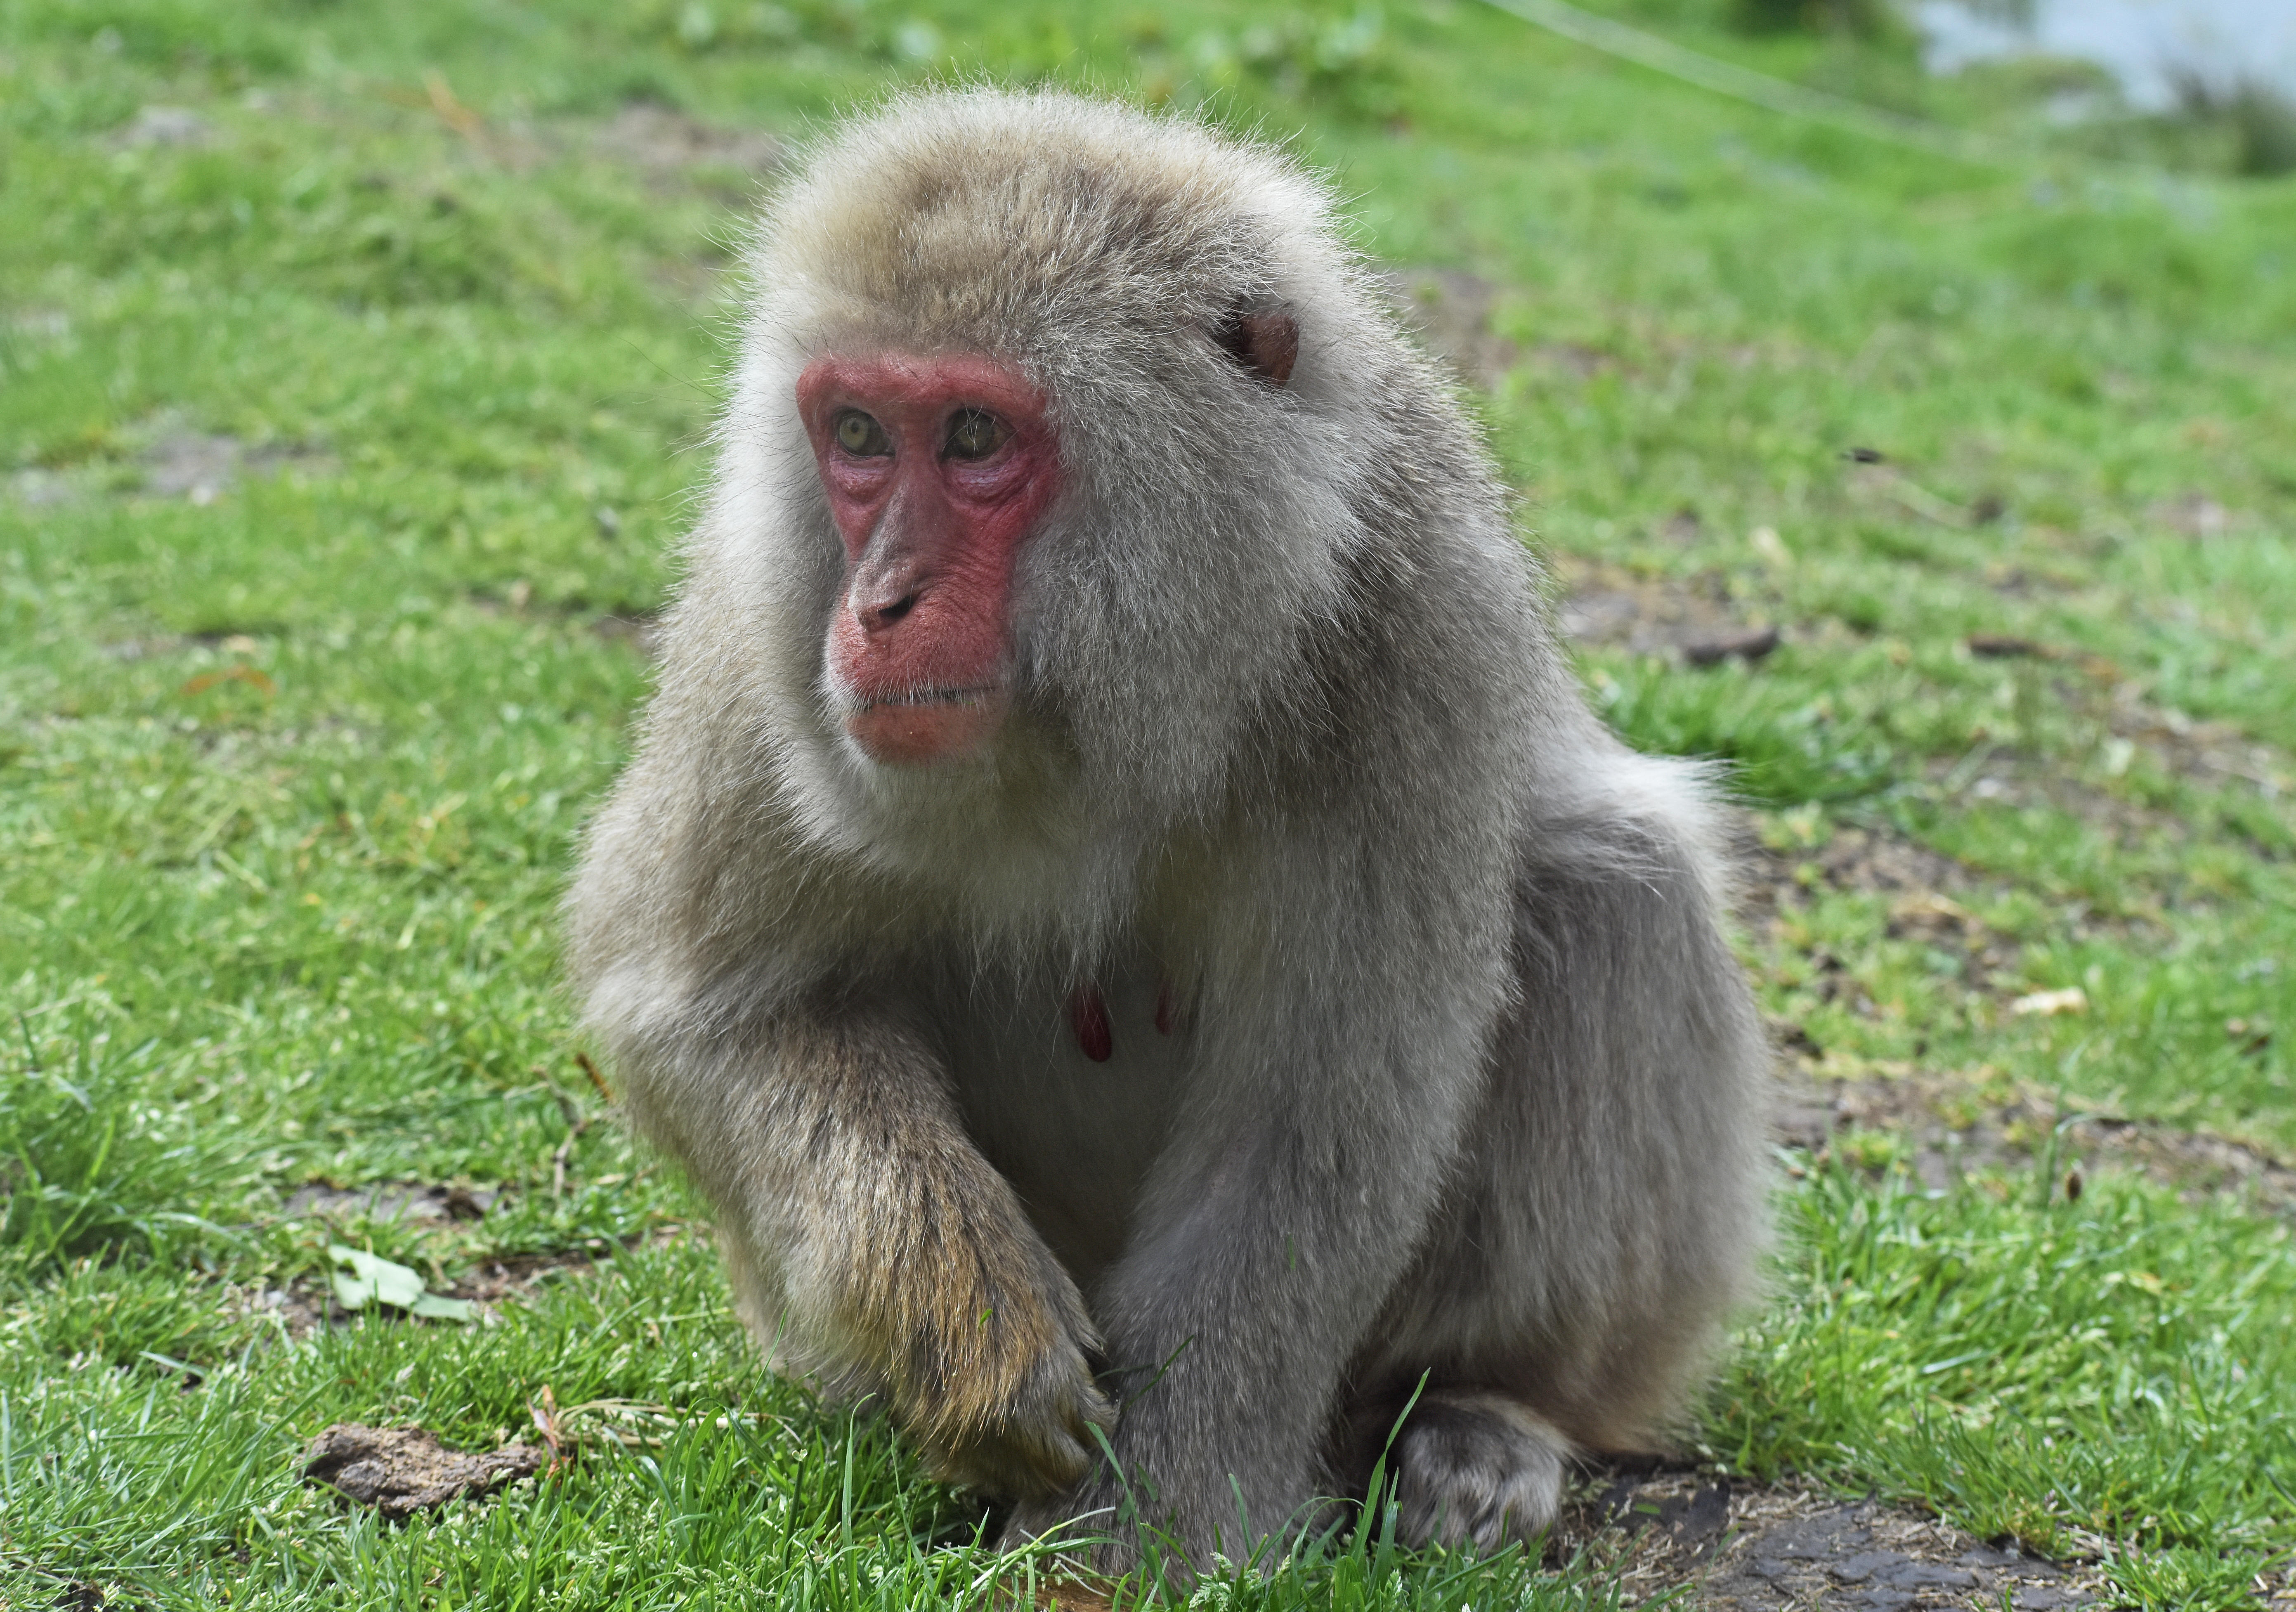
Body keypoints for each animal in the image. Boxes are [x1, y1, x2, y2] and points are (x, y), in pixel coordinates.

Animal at [565, 88, 1769, 1571]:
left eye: (975, 440)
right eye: (856, 434)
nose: (879, 605)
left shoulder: (1414, 626)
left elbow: (1305, 1127)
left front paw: (1132, 1545)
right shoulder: (759, 638)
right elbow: (707, 1013)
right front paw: (967, 1331)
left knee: (1621, 889)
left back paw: (1496, 1408)